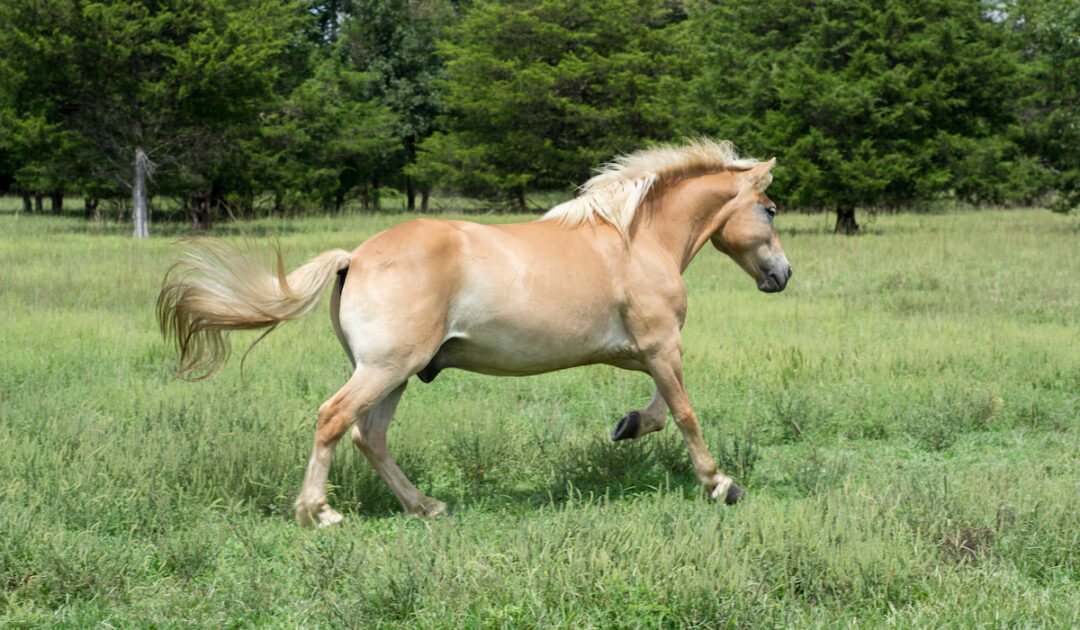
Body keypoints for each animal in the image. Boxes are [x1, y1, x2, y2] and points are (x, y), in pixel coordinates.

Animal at [157, 138, 792, 527]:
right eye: (770, 209)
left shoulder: (644, 352)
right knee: (334, 419)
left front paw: (628, 426)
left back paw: (425, 506)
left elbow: (662, 408)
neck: (635, 240)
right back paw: (321, 513)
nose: (782, 275)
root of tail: (355, 256)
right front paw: (720, 484)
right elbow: (685, 412)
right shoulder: (661, 345)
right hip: (387, 368)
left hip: (396, 373)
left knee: (370, 435)